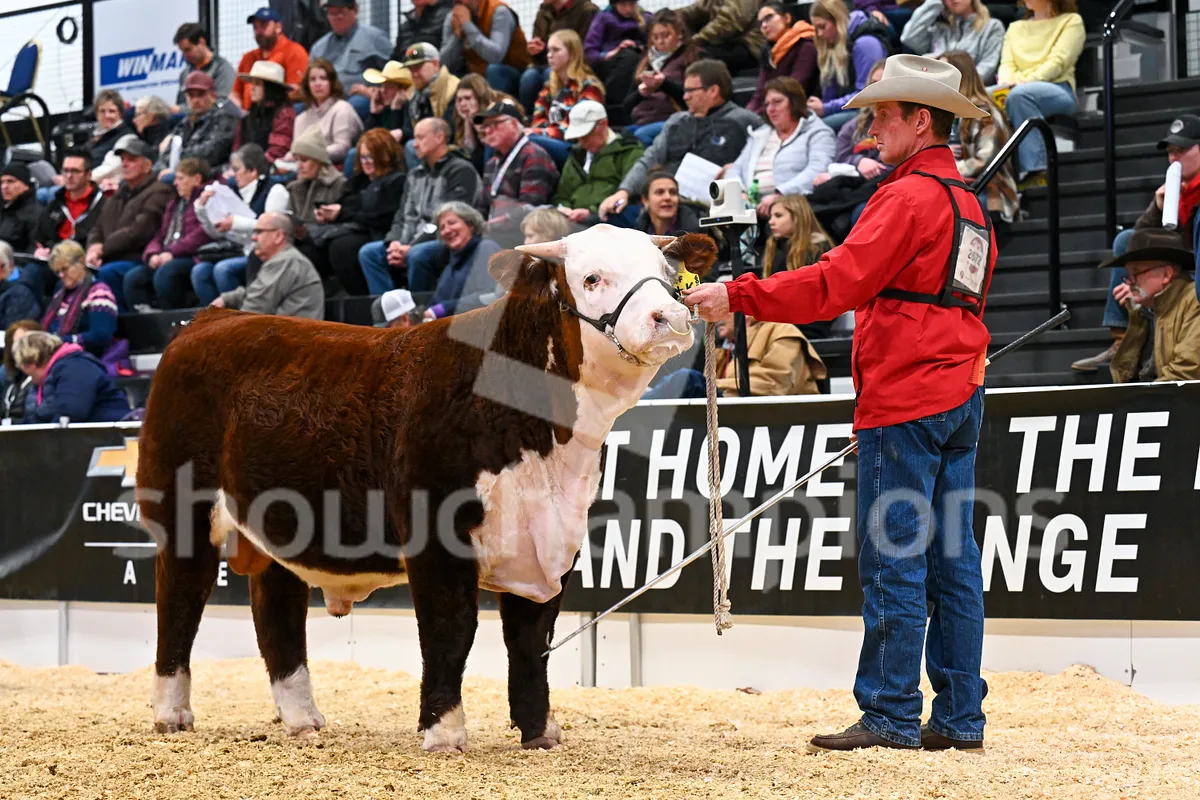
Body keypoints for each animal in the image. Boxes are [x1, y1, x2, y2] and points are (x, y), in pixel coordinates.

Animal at [136, 224, 717, 752]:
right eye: (591, 277)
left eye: (667, 274)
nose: (670, 316)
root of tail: (211, 319)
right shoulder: (436, 535)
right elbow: (450, 628)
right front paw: (444, 732)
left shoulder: (553, 542)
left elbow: (532, 639)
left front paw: (539, 732)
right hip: (180, 509)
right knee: (179, 599)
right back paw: (171, 713)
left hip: (278, 520)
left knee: (276, 611)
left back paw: (302, 719)